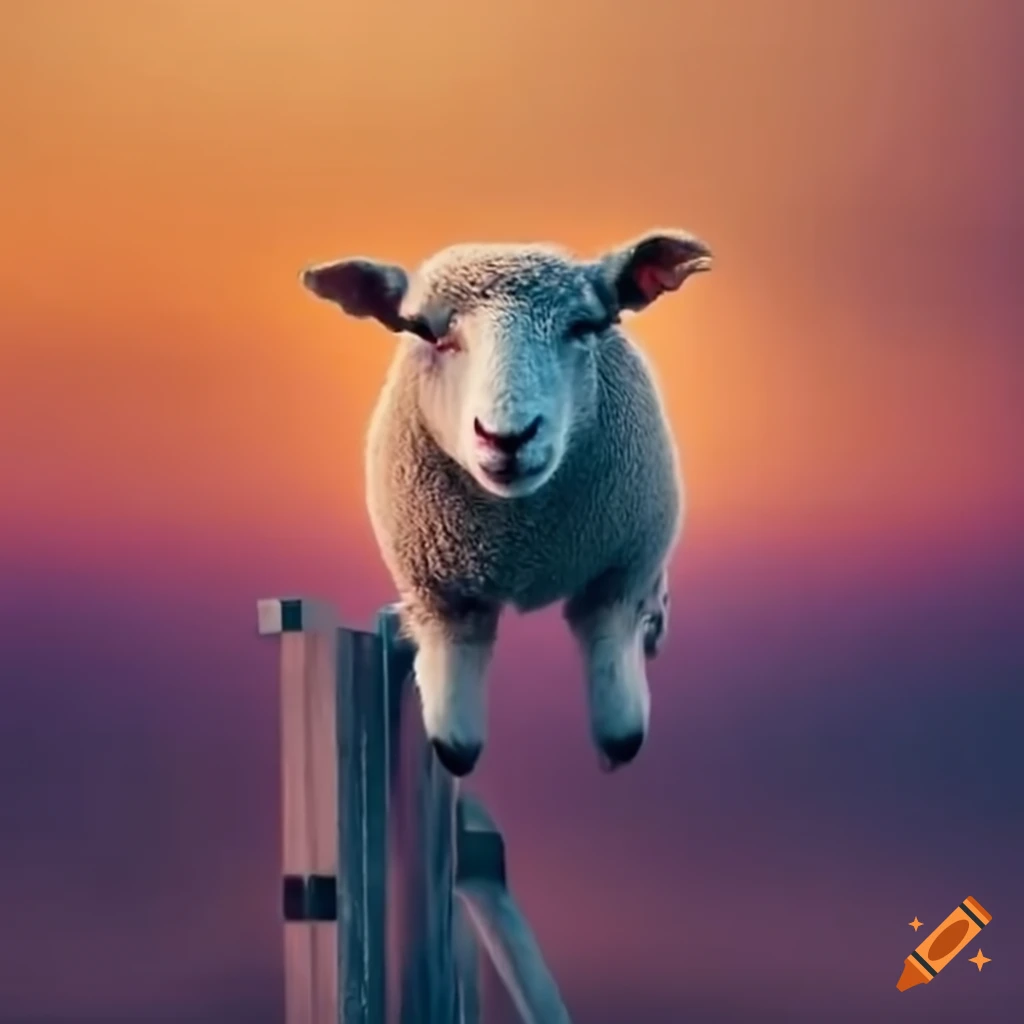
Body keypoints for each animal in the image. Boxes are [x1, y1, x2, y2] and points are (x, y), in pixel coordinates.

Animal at [301, 229, 712, 777]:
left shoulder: (615, 586)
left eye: (584, 326)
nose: (508, 437)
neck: (522, 547)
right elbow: (458, 748)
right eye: (426, 332)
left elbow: (621, 737)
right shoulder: (446, 603)